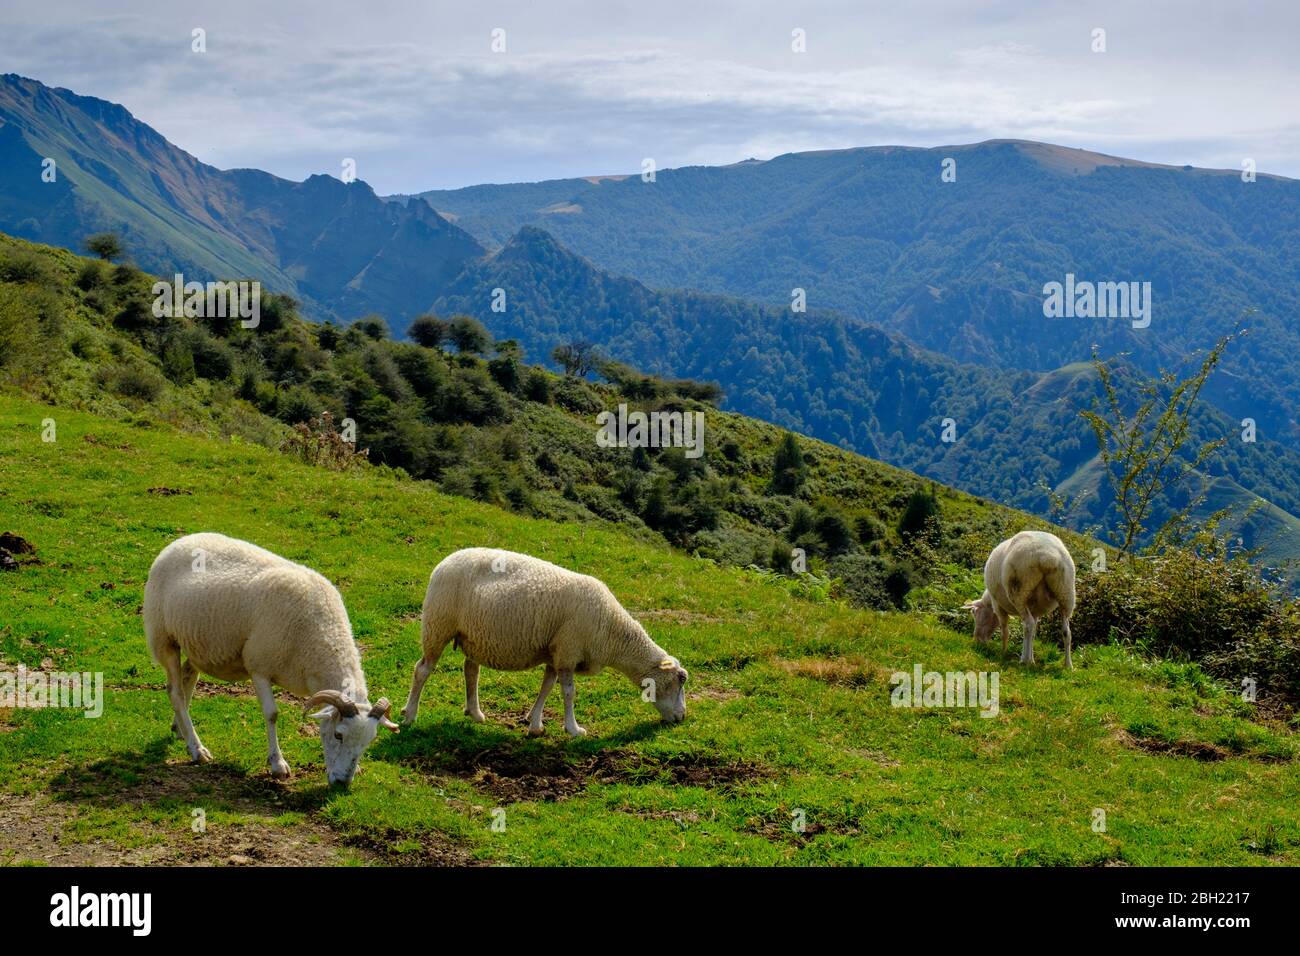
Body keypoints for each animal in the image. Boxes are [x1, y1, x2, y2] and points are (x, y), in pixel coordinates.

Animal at [143, 532, 398, 785]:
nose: (342, 783)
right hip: (164, 638)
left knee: (188, 678)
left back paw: (181, 730)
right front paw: (277, 764)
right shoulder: (259, 666)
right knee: (175, 692)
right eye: (338, 734)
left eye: (368, 742)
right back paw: (197, 748)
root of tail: (180, 541)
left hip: (197, 641)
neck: (322, 635)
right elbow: (272, 714)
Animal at [401, 548, 688, 736]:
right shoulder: (568, 651)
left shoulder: (555, 652)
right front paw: (573, 728)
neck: (612, 631)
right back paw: (410, 714)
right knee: (422, 670)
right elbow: (568, 692)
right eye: (680, 680)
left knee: (471, 671)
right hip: (438, 624)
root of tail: (443, 562)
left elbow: (547, 687)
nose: (682, 717)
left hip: (473, 635)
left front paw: (535, 722)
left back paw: (475, 713)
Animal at [964, 530, 1076, 669]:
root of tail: (1048, 557)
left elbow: (1005, 631)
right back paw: (1068, 665)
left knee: (1028, 624)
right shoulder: (1035, 611)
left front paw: (1004, 652)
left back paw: (1024, 661)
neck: (989, 601)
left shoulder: (998, 606)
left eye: (974, 613)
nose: (977, 640)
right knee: (1066, 631)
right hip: (1066, 591)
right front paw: (1031, 657)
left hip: (1019, 588)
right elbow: (1032, 635)